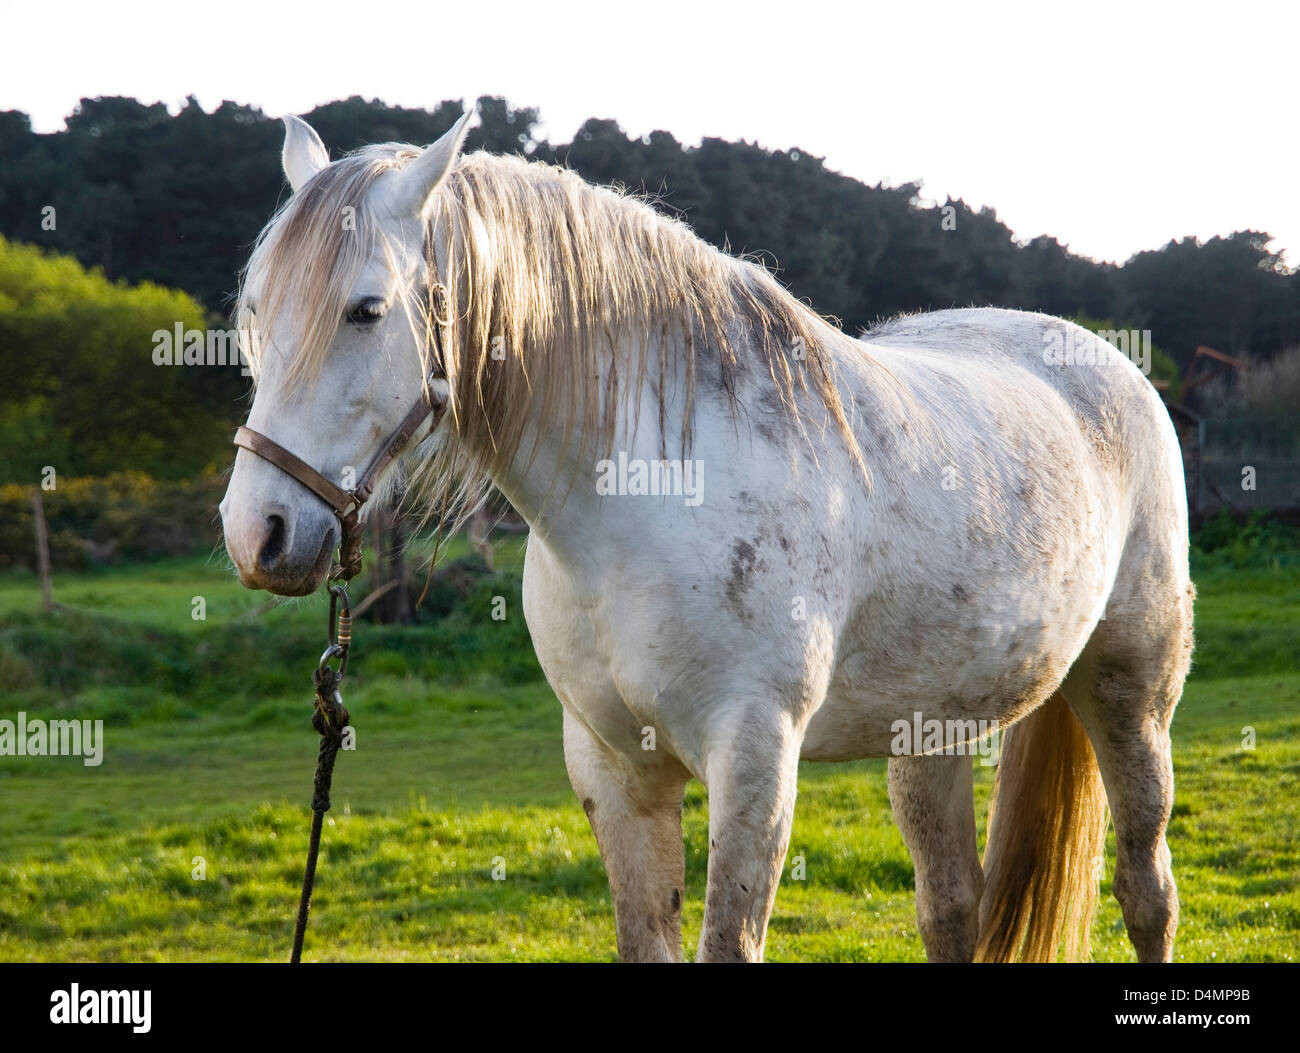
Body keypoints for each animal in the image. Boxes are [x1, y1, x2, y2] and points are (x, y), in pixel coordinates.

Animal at [220, 109, 1194, 963]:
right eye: (256, 308)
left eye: (366, 309)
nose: (257, 532)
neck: (644, 502)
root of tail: (1102, 361)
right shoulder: (613, 768)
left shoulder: (754, 758)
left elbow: (729, 940)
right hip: (931, 731)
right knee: (953, 905)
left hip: (1130, 692)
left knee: (1146, 890)